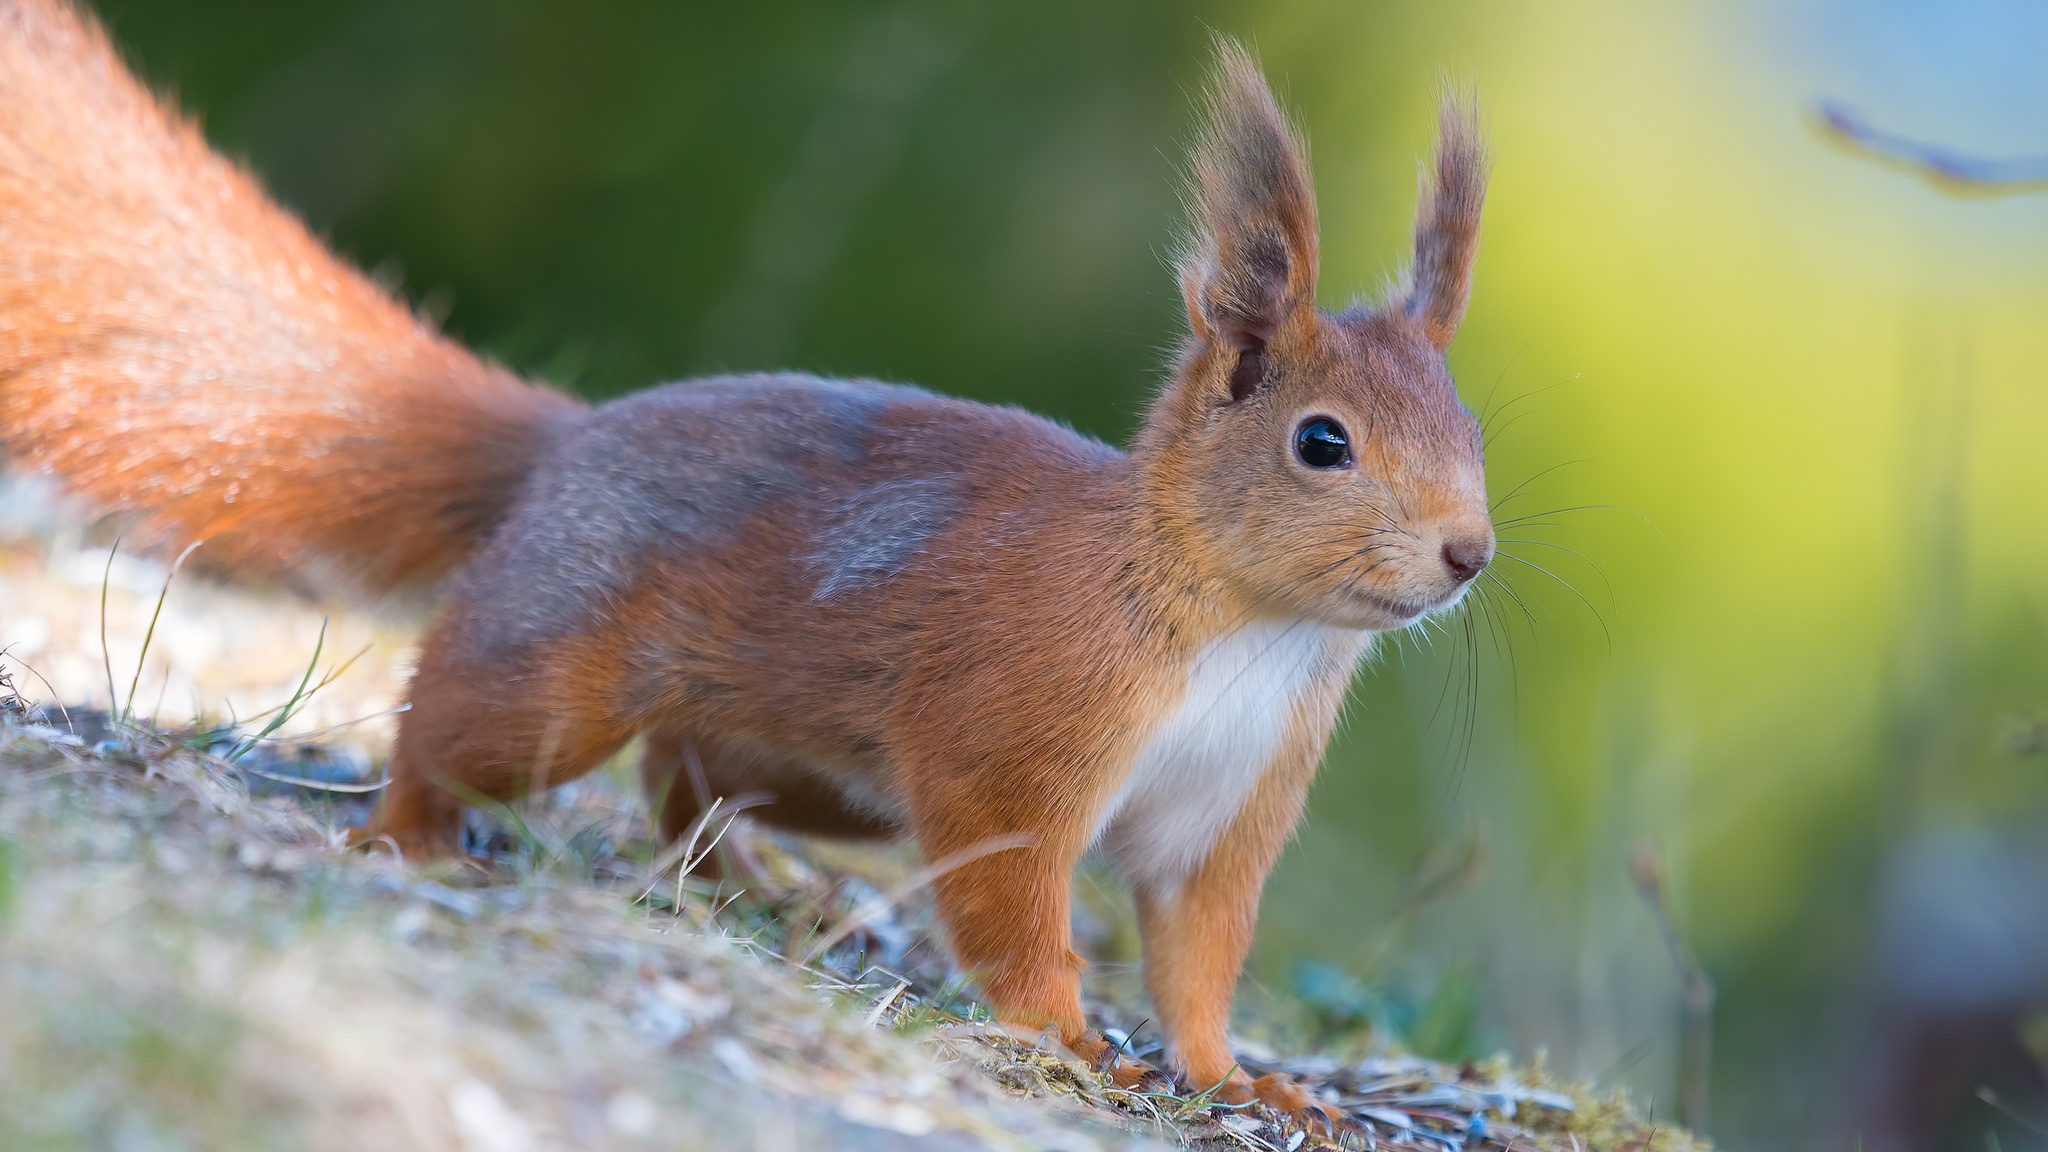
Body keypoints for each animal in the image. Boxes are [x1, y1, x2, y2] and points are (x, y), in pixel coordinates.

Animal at [0, 0, 1492, 1122]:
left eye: (1475, 432)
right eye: (1319, 442)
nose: (1470, 554)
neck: (1250, 631)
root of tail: (575, 439)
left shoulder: (1223, 813)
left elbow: (1197, 959)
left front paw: (1239, 1080)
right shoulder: (1014, 731)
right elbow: (1014, 901)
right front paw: (1069, 1037)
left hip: (808, 767)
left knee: (683, 776)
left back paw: (739, 882)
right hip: (562, 667)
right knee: (465, 719)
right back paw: (413, 832)